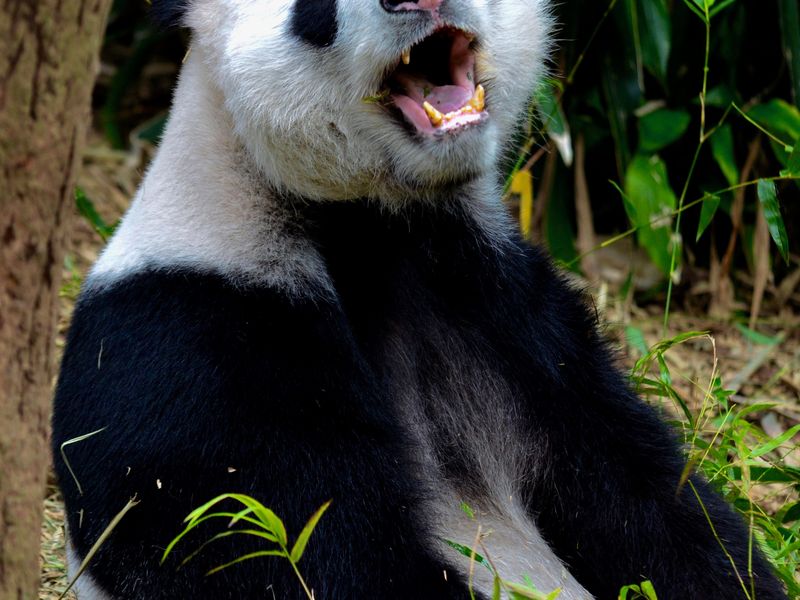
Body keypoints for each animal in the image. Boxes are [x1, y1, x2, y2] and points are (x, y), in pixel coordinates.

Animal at [53, 0, 787, 598]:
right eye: (313, 5)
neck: (374, 222)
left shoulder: (504, 305)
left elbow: (647, 498)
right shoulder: (200, 335)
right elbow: (302, 547)